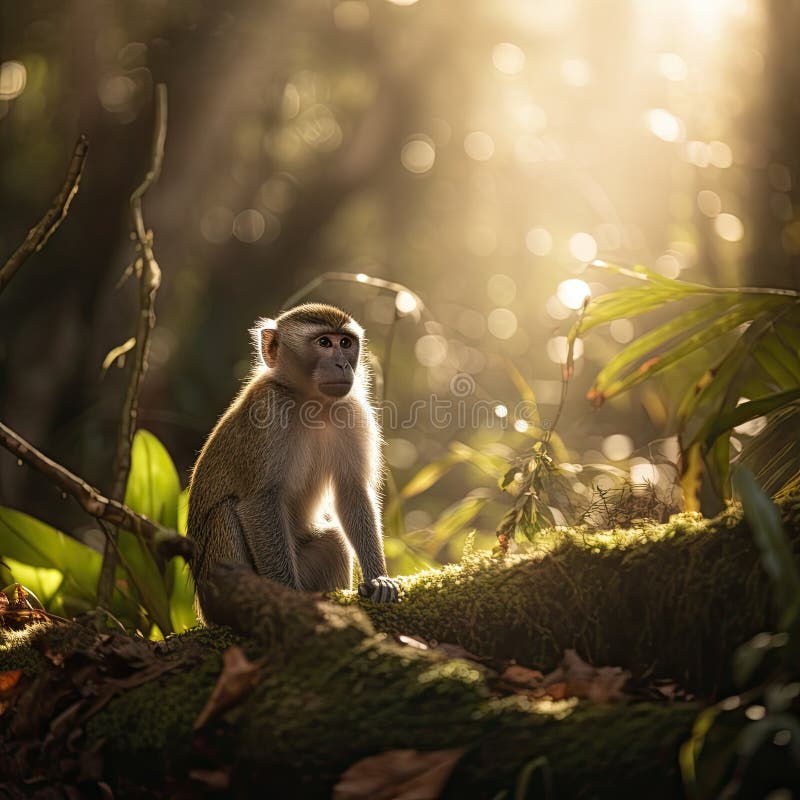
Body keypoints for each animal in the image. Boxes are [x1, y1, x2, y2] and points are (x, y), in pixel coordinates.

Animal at [187, 302, 400, 618]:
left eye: (345, 343)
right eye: (324, 343)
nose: (343, 365)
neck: (312, 403)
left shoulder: (352, 409)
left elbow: (352, 490)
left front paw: (377, 578)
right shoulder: (269, 411)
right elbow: (258, 501)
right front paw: (287, 596)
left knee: (332, 541)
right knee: (224, 513)